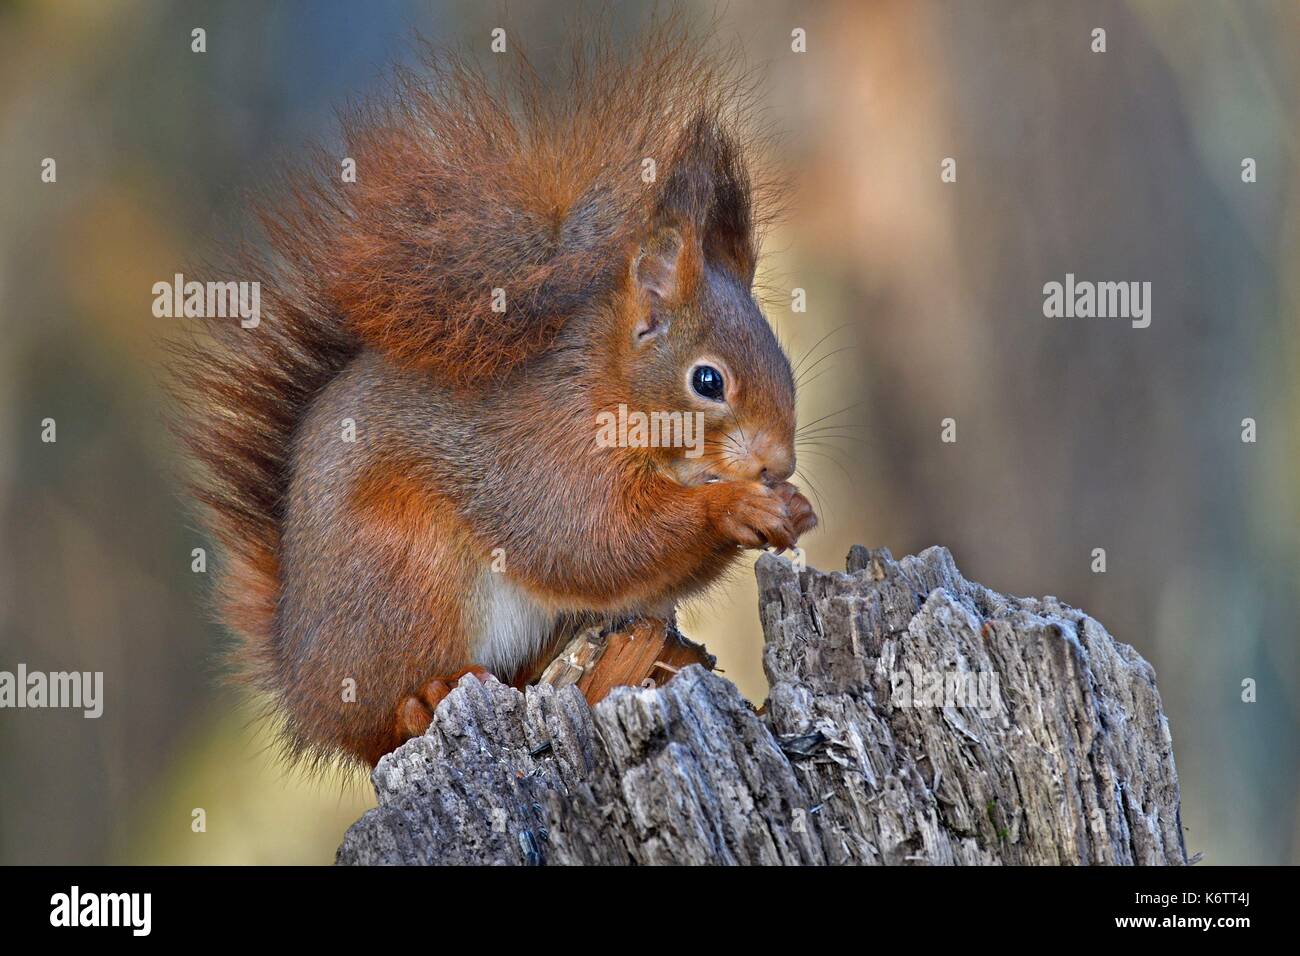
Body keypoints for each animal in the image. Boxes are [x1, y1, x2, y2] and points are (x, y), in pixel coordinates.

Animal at [173, 21, 817, 769]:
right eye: (707, 381)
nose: (778, 463)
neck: (606, 388)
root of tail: (304, 685)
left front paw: (791, 508)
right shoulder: (543, 458)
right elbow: (593, 539)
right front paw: (736, 506)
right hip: (405, 574)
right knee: (381, 727)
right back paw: (422, 700)